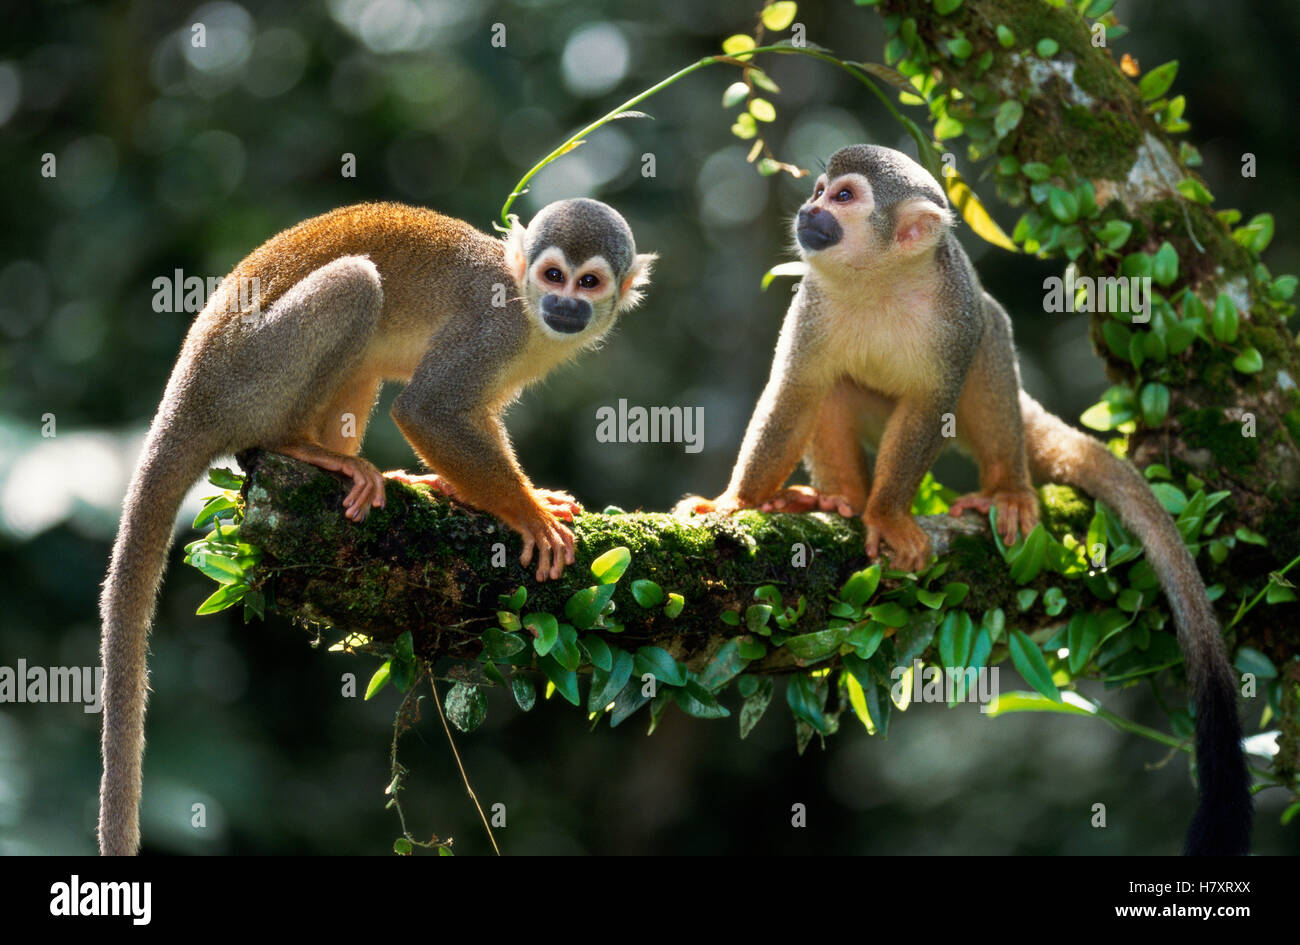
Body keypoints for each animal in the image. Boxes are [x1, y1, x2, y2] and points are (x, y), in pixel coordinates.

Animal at [98, 197, 655, 855]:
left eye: (588, 283)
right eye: (553, 275)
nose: (564, 305)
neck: (525, 309)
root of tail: (182, 396)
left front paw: (505, 494)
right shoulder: (491, 332)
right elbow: (428, 411)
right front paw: (530, 515)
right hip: (243, 379)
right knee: (356, 285)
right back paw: (299, 446)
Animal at [676, 144, 1251, 856]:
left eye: (844, 197)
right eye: (818, 190)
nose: (809, 211)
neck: (879, 279)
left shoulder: (956, 314)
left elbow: (936, 401)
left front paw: (888, 515)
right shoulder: (811, 303)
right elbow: (796, 395)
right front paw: (737, 500)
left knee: (990, 349)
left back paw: (1003, 487)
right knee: (834, 387)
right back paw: (839, 500)